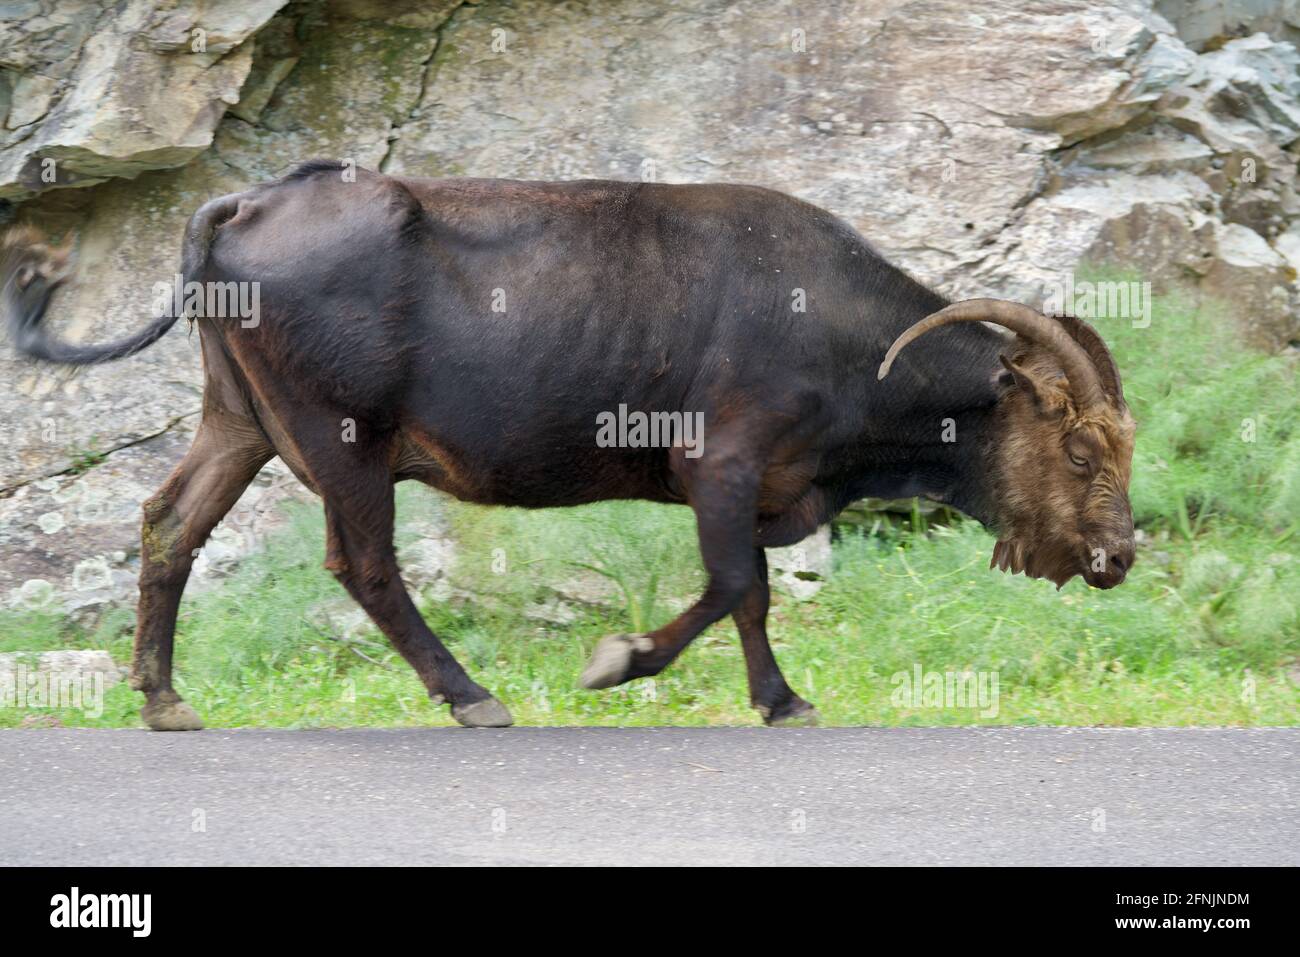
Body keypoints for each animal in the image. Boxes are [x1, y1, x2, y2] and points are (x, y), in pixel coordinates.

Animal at [2, 160, 1136, 730]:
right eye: (1081, 451)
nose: (1118, 553)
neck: (832, 324)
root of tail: (248, 199)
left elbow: (751, 593)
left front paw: (778, 700)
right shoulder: (720, 464)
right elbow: (734, 585)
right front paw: (618, 662)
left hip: (237, 419)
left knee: (168, 524)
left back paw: (163, 699)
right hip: (341, 440)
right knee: (363, 563)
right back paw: (471, 697)